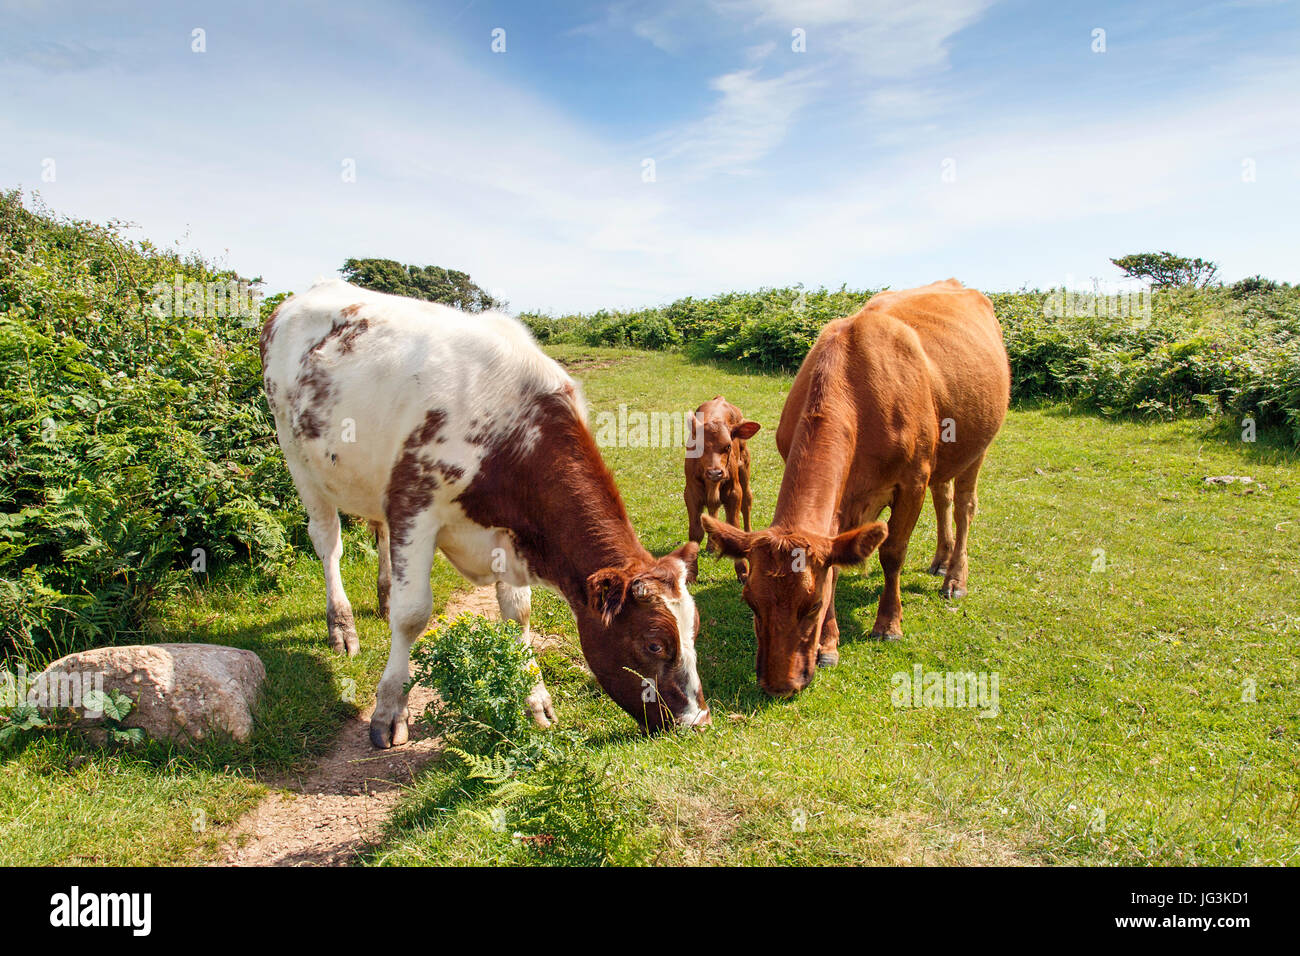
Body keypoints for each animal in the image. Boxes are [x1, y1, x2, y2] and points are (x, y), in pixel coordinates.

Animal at [261, 278, 710, 747]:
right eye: (655, 644)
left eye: (695, 630)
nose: (699, 721)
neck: (509, 431)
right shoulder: (414, 500)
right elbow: (413, 614)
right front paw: (389, 709)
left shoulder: (504, 532)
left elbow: (518, 614)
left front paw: (535, 700)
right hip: (297, 457)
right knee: (328, 543)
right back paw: (342, 627)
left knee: (377, 530)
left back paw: (382, 596)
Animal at [684, 396, 760, 581]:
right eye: (699, 446)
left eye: (728, 446)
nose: (715, 472)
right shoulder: (691, 493)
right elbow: (695, 531)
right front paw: (691, 574)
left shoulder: (734, 493)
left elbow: (734, 527)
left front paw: (743, 570)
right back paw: (711, 545)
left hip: (744, 468)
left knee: (747, 503)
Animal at [703, 280, 1010, 697]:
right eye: (750, 602)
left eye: (812, 606)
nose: (779, 685)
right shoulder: (842, 501)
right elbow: (834, 564)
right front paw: (828, 646)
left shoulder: (912, 480)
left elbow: (893, 554)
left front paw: (888, 624)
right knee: (943, 498)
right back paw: (940, 559)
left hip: (977, 447)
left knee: (963, 506)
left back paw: (954, 577)